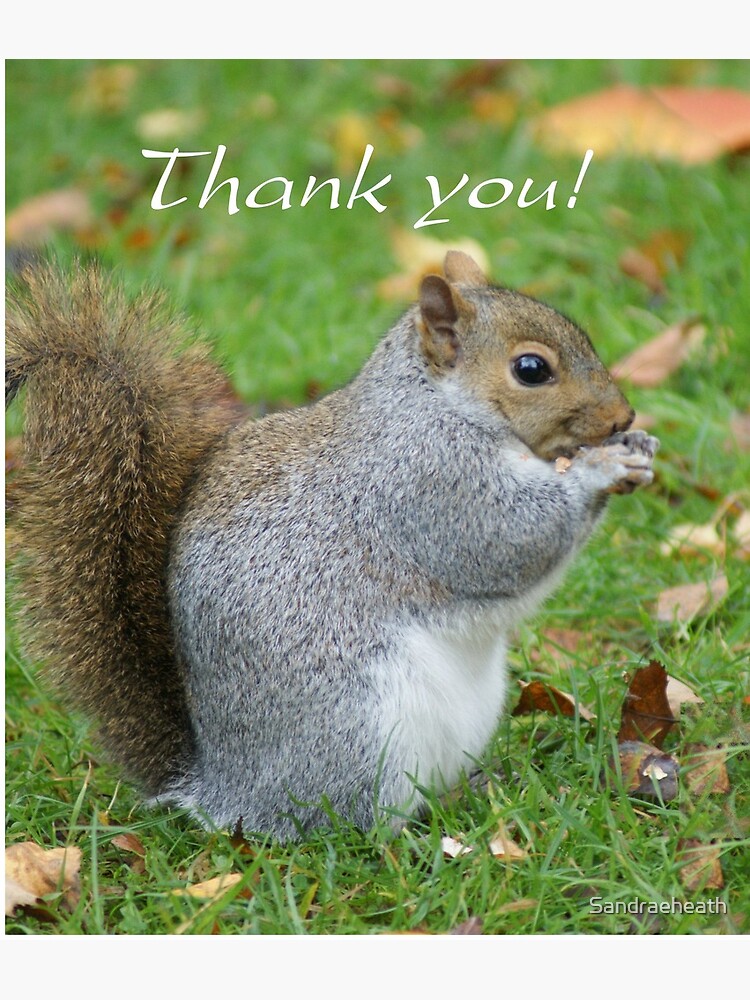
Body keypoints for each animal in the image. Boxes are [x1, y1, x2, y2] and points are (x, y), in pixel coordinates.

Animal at [6, 251, 658, 841]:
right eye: (531, 369)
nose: (623, 415)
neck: (437, 402)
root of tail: (221, 790)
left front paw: (637, 447)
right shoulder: (430, 481)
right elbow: (509, 537)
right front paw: (601, 467)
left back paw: (476, 789)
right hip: (362, 732)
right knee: (351, 825)